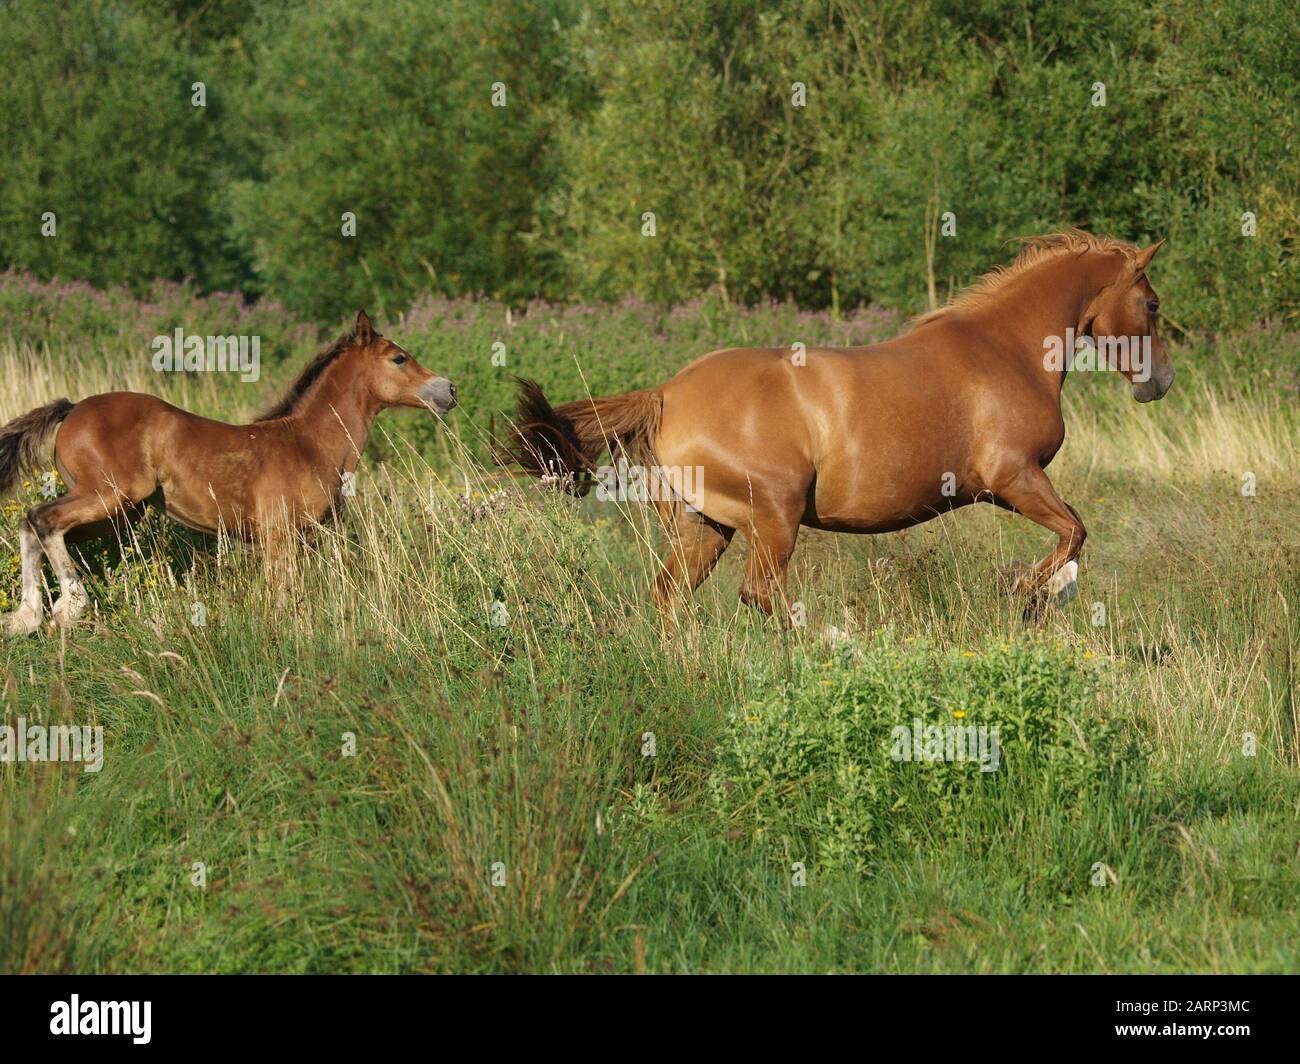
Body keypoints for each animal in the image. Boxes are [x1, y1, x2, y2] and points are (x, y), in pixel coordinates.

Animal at [0, 310, 456, 634]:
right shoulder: (278, 535)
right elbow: (280, 597)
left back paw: (26, 618)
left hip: (116, 514)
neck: (309, 443)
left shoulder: (307, 539)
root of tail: (73, 407)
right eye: (399, 358)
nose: (448, 389)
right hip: (109, 496)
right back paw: (68, 607)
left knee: (34, 527)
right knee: (42, 518)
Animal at [510, 231, 1175, 620]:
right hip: (774, 517)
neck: (1003, 347)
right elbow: (1074, 533)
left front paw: (1043, 591)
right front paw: (1033, 591)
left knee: (670, 597)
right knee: (760, 594)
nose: (1160, 381)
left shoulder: (1010, 488)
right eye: (1152, 303)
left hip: (705, 526)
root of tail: (667, 394)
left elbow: (1072, 535)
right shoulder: (1014, 478)